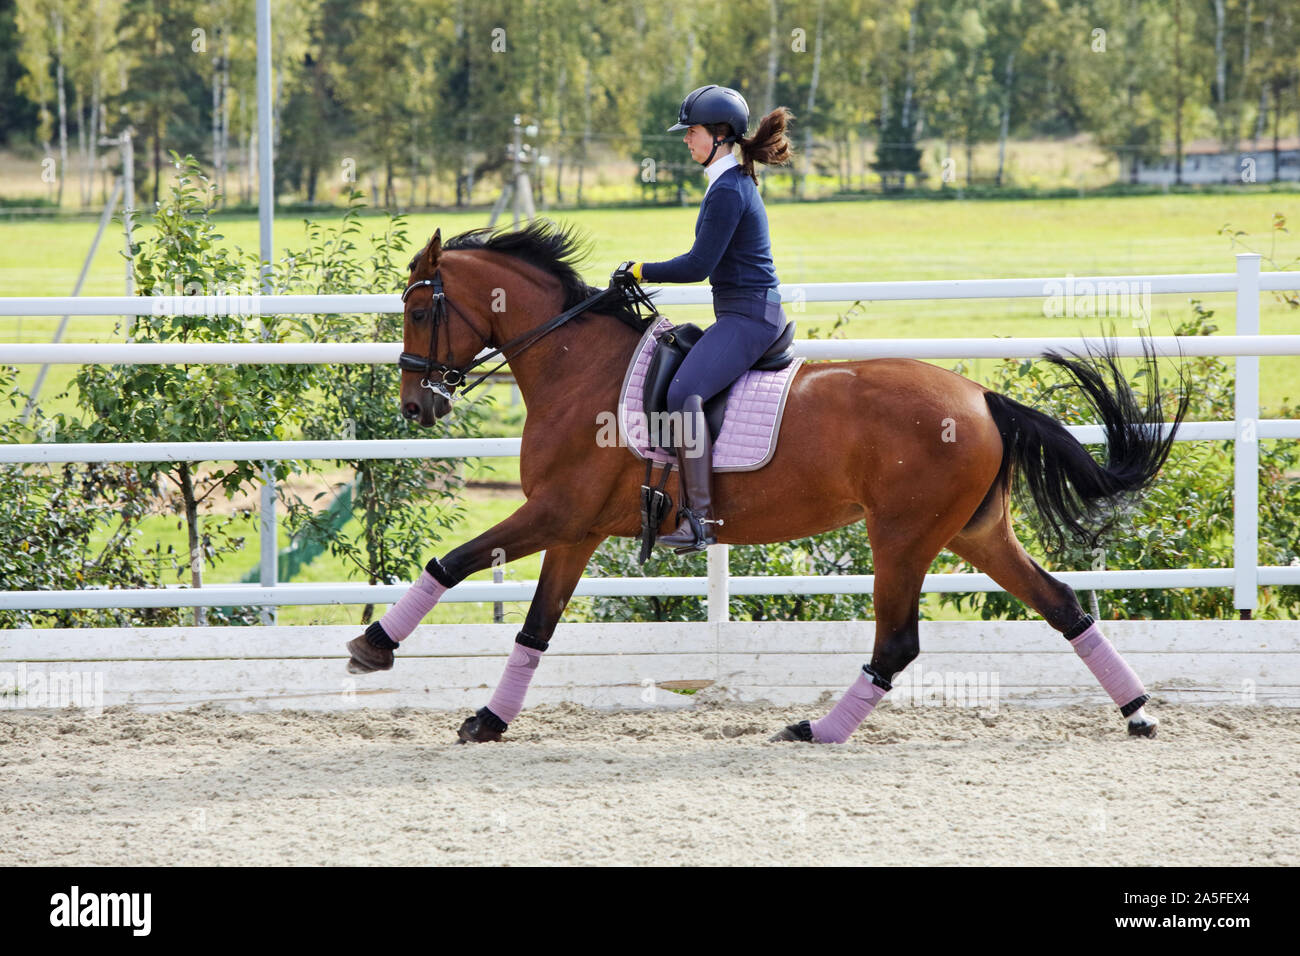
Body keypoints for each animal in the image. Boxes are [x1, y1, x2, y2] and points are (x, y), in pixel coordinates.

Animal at [344, 219, 1188, 745]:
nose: (416, 405)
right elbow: (534, 629)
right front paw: (488, 719)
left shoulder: (554, 512)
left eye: (418, 311)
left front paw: (372, 645)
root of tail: (982, 397)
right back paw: (1139, 713)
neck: (577, 366)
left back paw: (817, 730)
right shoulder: (576, 530)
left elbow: (451, 563)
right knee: (1064, 605)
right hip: (977, 533)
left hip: (903, 537)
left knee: (897, 644)